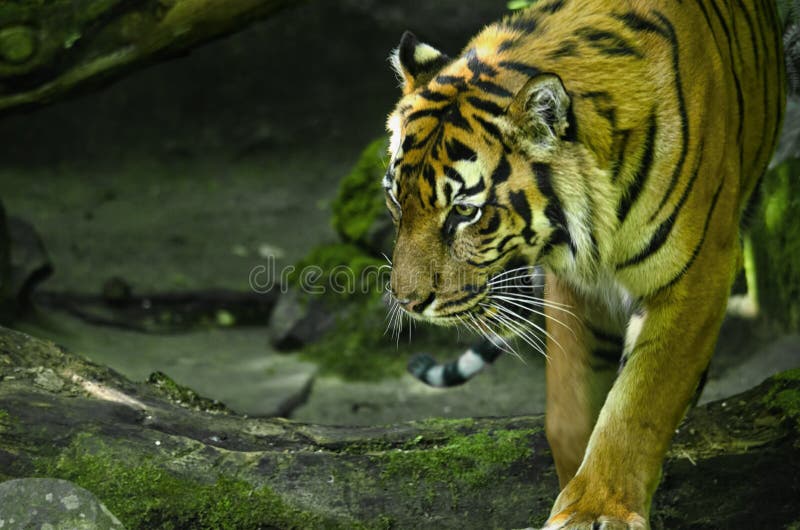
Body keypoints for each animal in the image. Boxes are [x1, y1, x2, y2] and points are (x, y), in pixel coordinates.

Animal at [382, 0, 791, 528]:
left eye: (465, 212)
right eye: (396, 199)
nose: (407, 301)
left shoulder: (696, 273)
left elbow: (641, 401)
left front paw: (600, 507)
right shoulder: (576, 286)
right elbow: (570, 413)